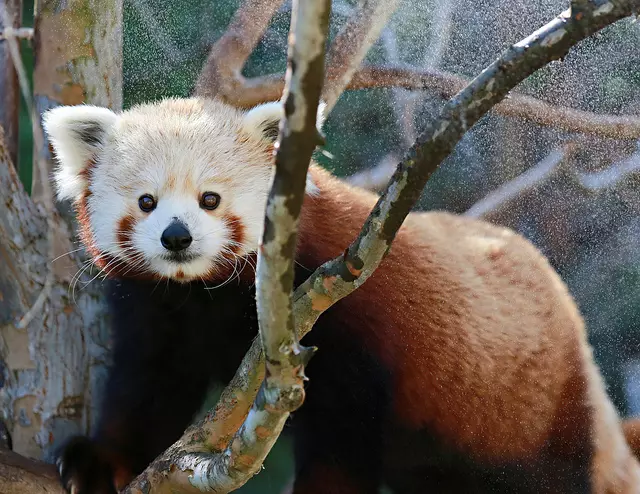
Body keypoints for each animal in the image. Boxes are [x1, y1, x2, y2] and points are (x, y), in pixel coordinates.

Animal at [43, 97, 640, 494]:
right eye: (146, 202)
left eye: (210, 199)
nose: (176, 237)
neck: (211, 297)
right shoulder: (158, 313)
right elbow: (147, 390)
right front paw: (98, 462)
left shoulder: (346, 318)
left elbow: (344, 435)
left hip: (539, 418)